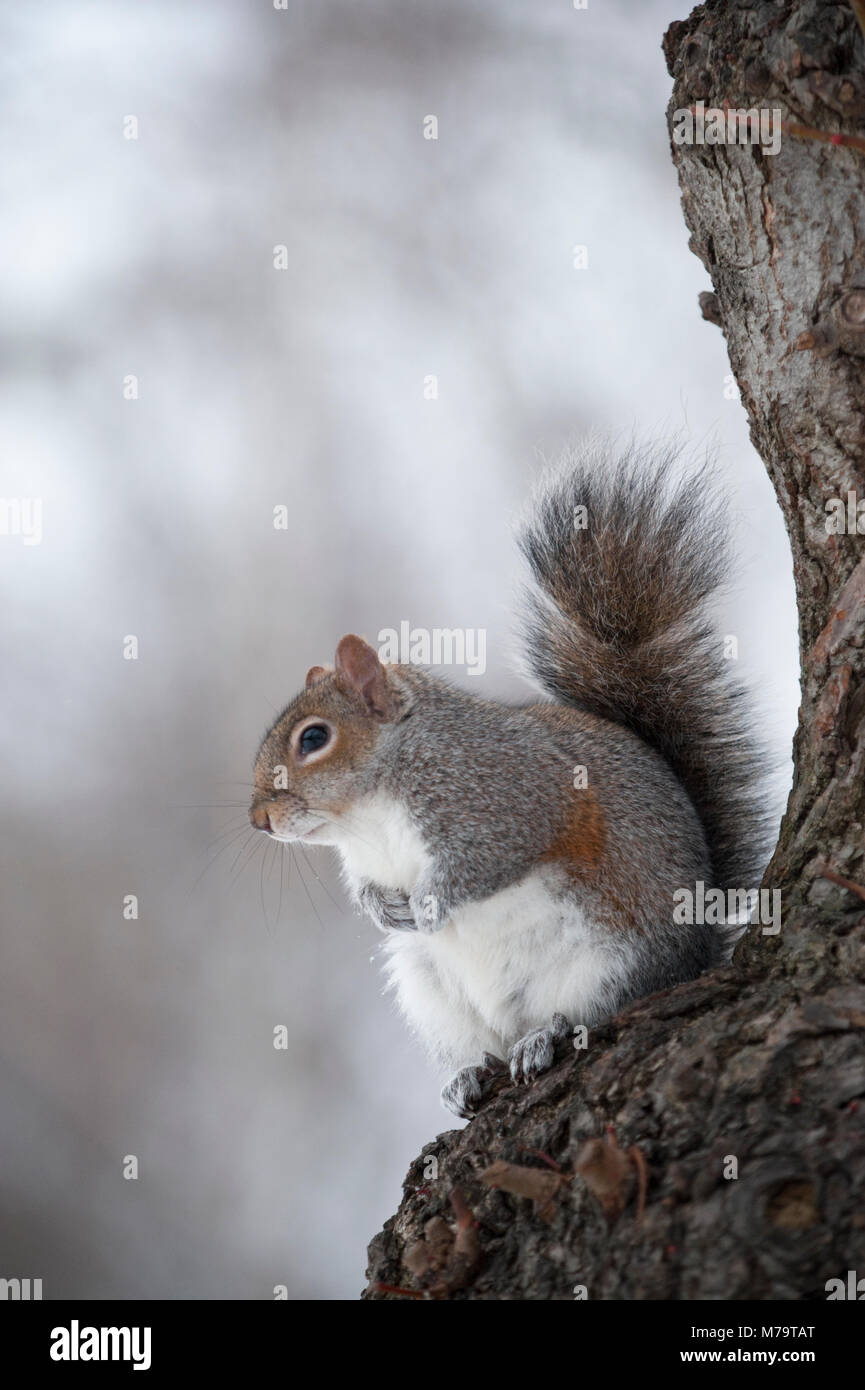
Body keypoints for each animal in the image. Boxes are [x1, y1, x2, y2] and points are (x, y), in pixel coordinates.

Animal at [249, 443, 772, 1118]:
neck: (369, 815)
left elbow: (485, 862)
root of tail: (697, 956)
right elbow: (368, 888)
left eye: (314, 738)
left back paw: (544, 1036)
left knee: (593, 1014)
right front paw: (381, 908)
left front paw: (427, 903)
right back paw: (468, 1073)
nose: (259, 819)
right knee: (485, 1044)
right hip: (435, 997)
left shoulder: (507, 796)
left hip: (612, 961)